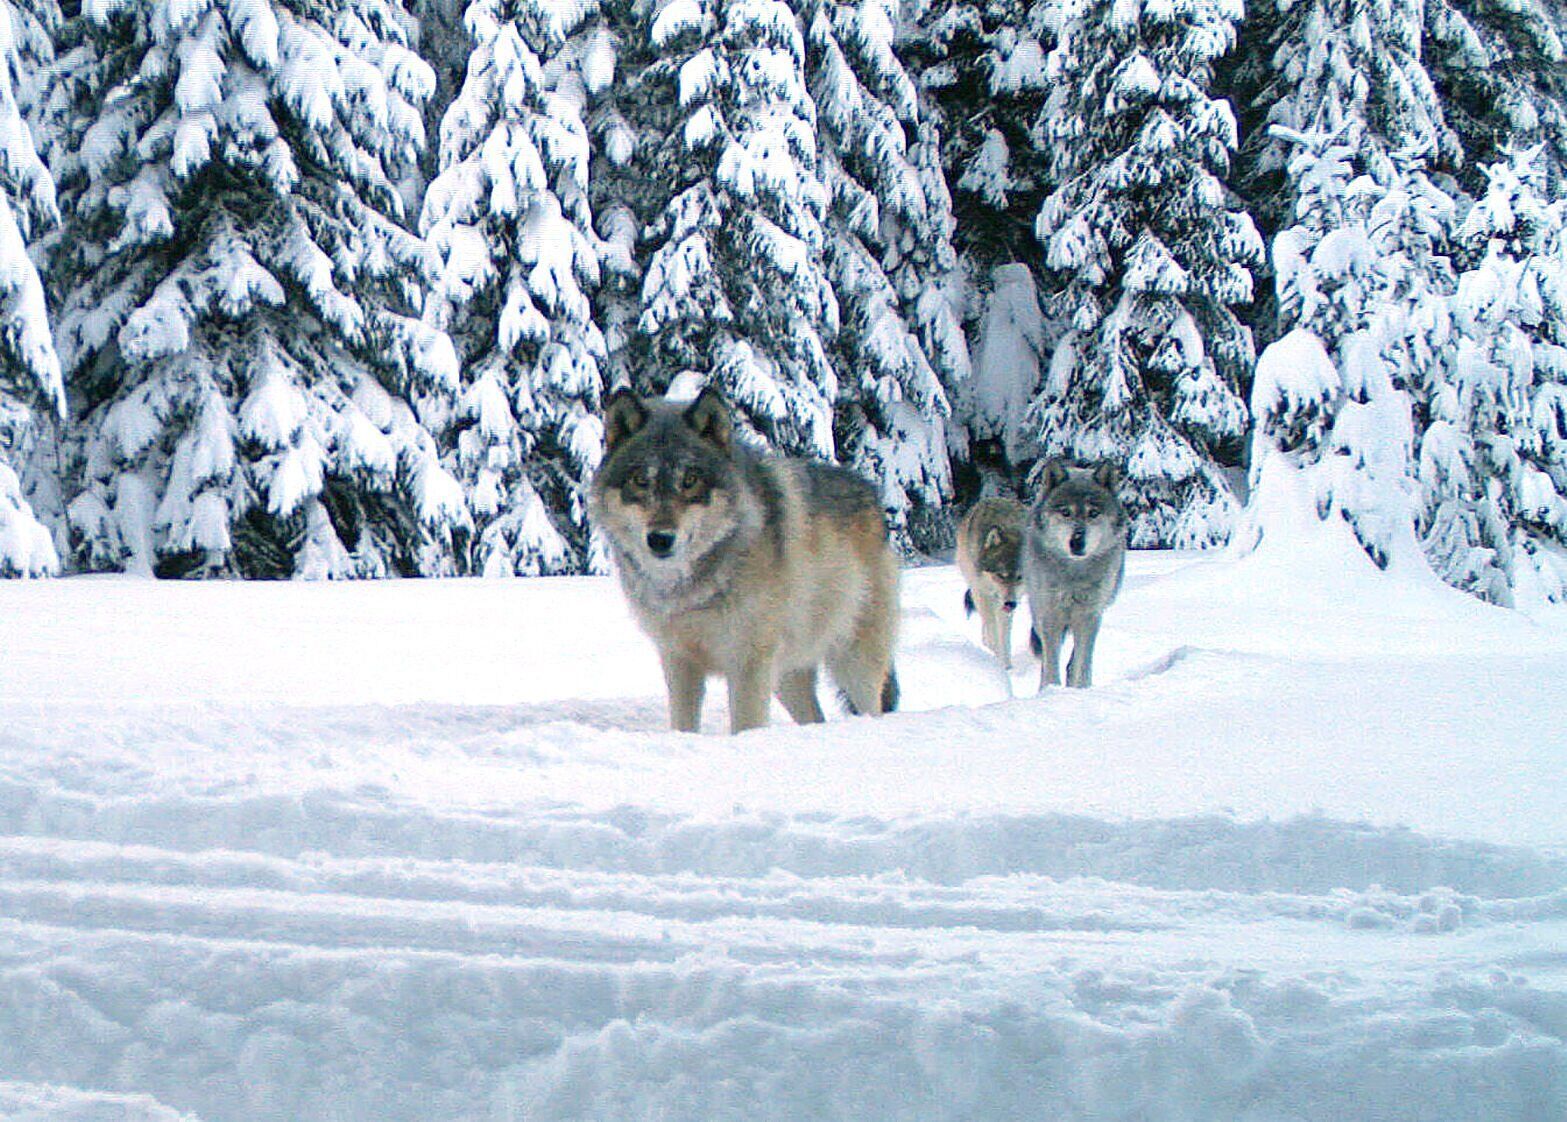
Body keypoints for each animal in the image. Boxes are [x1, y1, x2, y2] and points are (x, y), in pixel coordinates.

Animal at [588, 386, 899, 734]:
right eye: (641, 480)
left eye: (690, 480)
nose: (660, 539)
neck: (691, 587)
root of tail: (872, 495)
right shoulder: (678, 662)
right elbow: (682, 725)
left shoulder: (748, 666)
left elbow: (746, 726)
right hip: (787, 677)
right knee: (815, 717)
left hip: (852, 663)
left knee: (871, 707)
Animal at [955, 497, 1026, 669]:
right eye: (1001, 575)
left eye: (1020, 577)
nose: (1010, 603)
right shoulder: (983, 594)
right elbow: (994, 635)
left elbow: (1004, 639)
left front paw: (1007, 666)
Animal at [1022, 460, 1127, 690]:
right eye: (1065, 512)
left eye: (1093, 513)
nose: (1076, 541)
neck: (1074, 575)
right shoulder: (1050, 617)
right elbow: (1051, 667)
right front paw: (1050, 690)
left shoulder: (1089, 616)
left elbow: (1081, 665)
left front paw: (1079, 690)